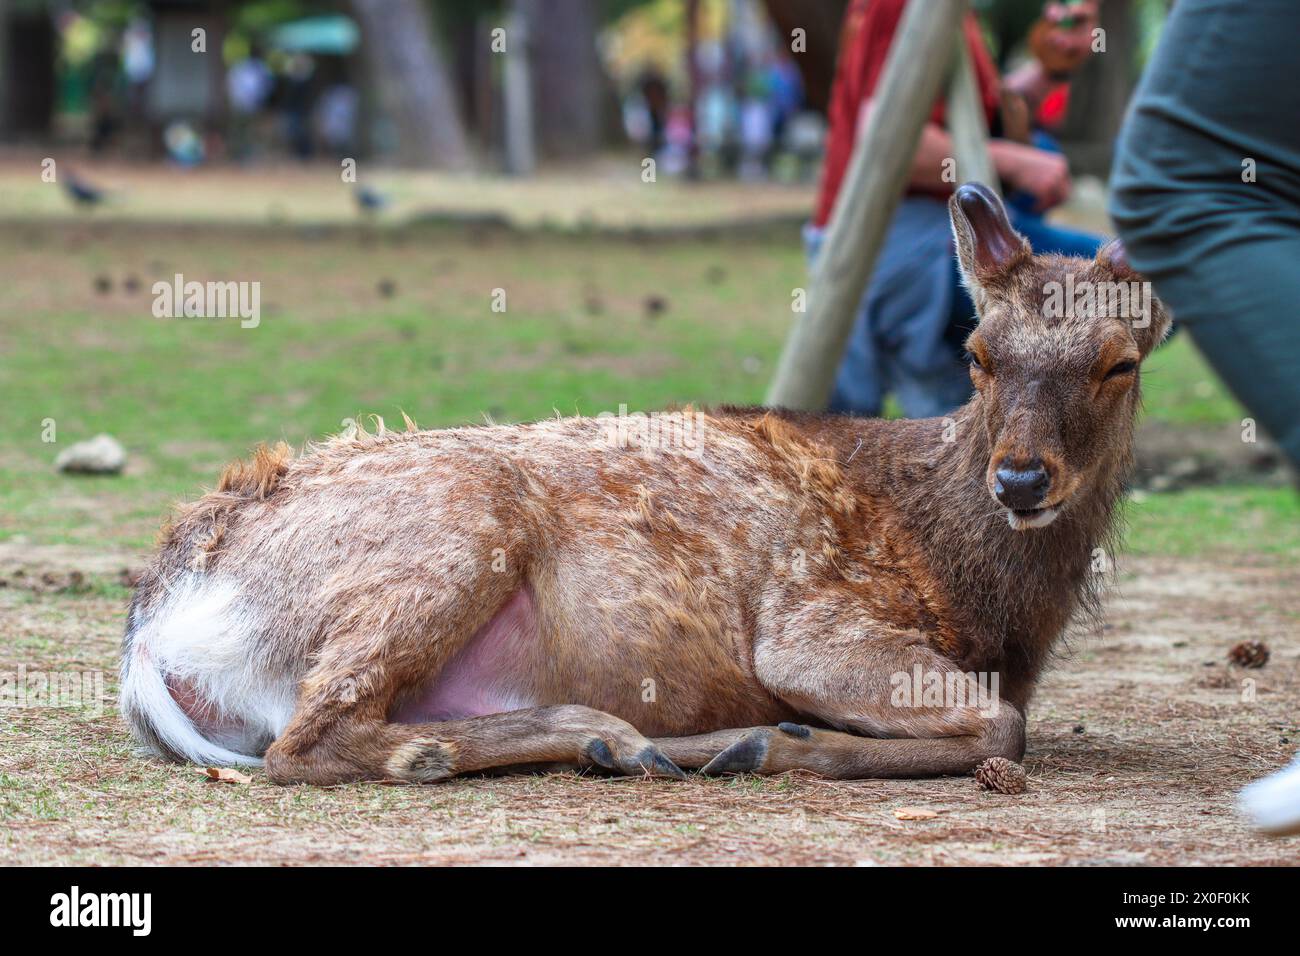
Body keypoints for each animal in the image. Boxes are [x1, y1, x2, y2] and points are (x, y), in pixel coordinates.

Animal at [119, 183, 1169, 786]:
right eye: (977, 354)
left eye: (1120, 362)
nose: (1021, 478)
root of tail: (156, 629)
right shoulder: (812, 624)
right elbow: (1003, 726)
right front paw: (769, 741)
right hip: (455, 529)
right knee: (304, 743)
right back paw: (609, 742)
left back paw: (614, 740)